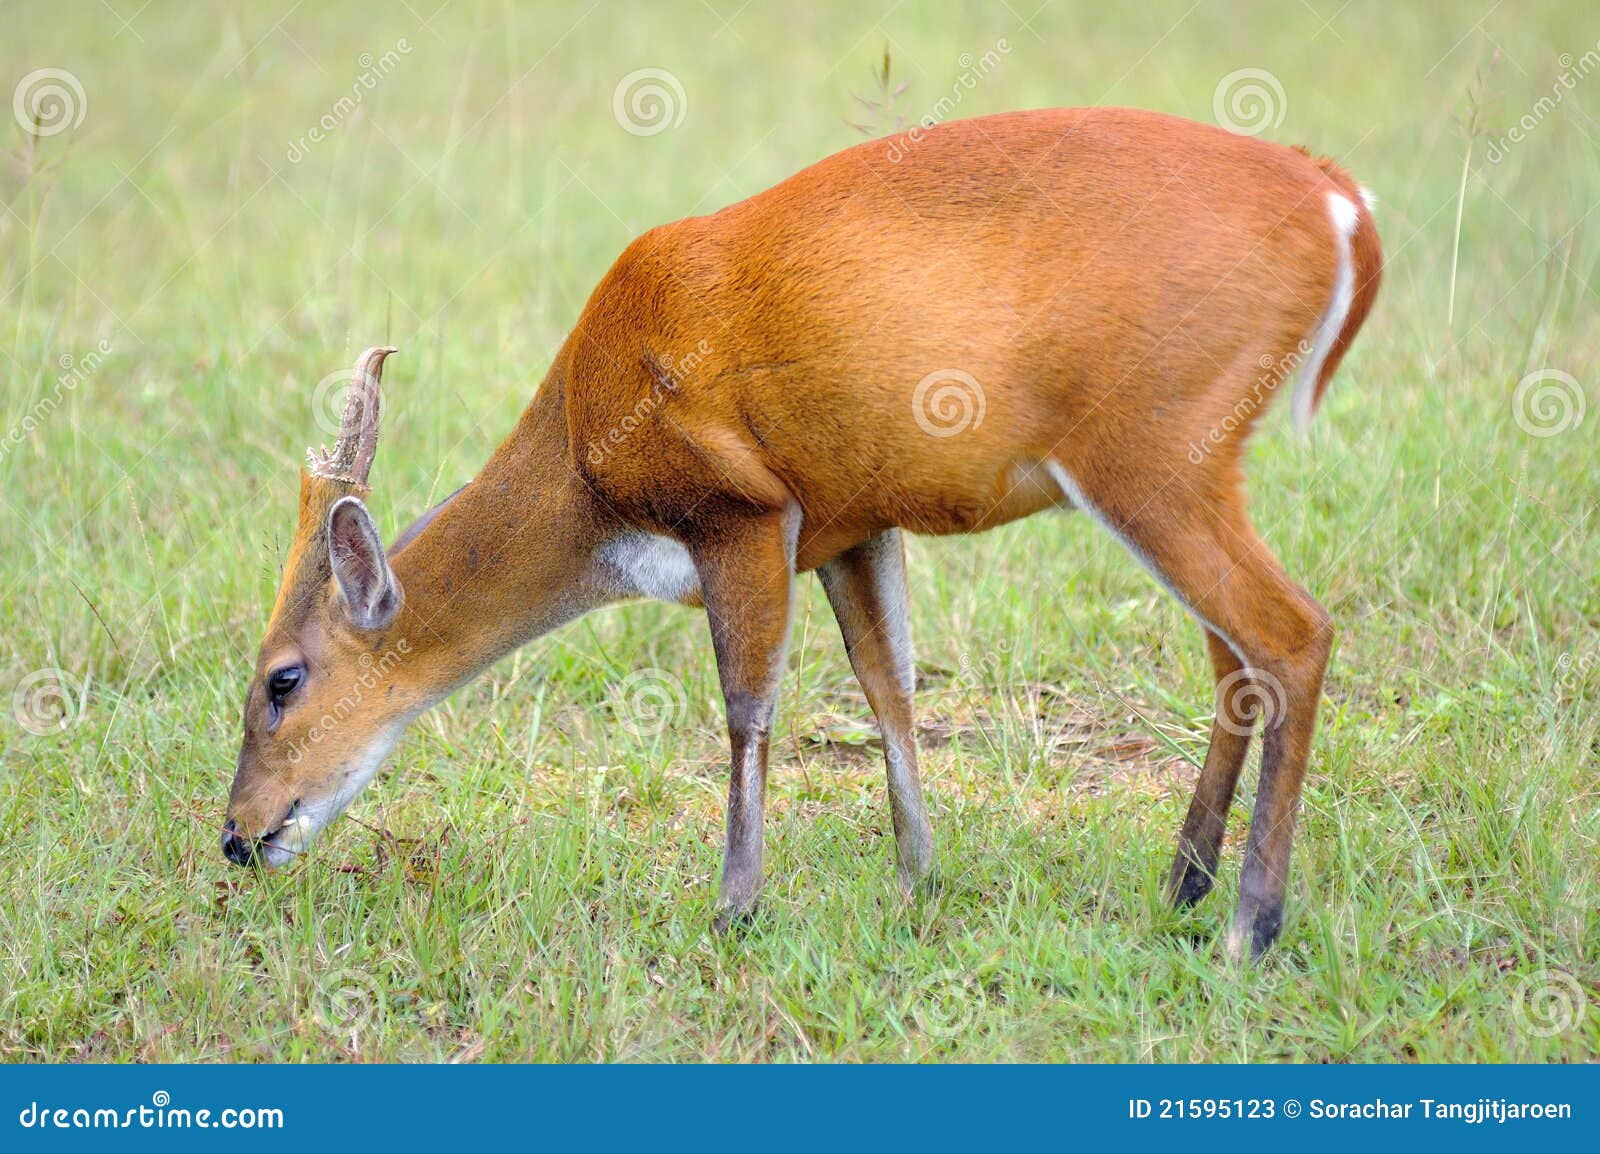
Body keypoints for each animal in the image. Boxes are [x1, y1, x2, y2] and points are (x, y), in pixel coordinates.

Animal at [222, 107, 1381, 960]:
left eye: (281, 678)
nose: (238, 835)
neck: (587, 455)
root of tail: (1342, 202)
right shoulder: (849, 523)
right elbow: (888, 683)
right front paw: (918, 877)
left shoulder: (740, 507)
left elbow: (748, 704)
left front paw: (733, 907)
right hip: (1192, 465)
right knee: (1233, 654)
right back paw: (1183, 883)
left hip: (1152, 448)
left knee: (1291, 632)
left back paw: (1249, 925)